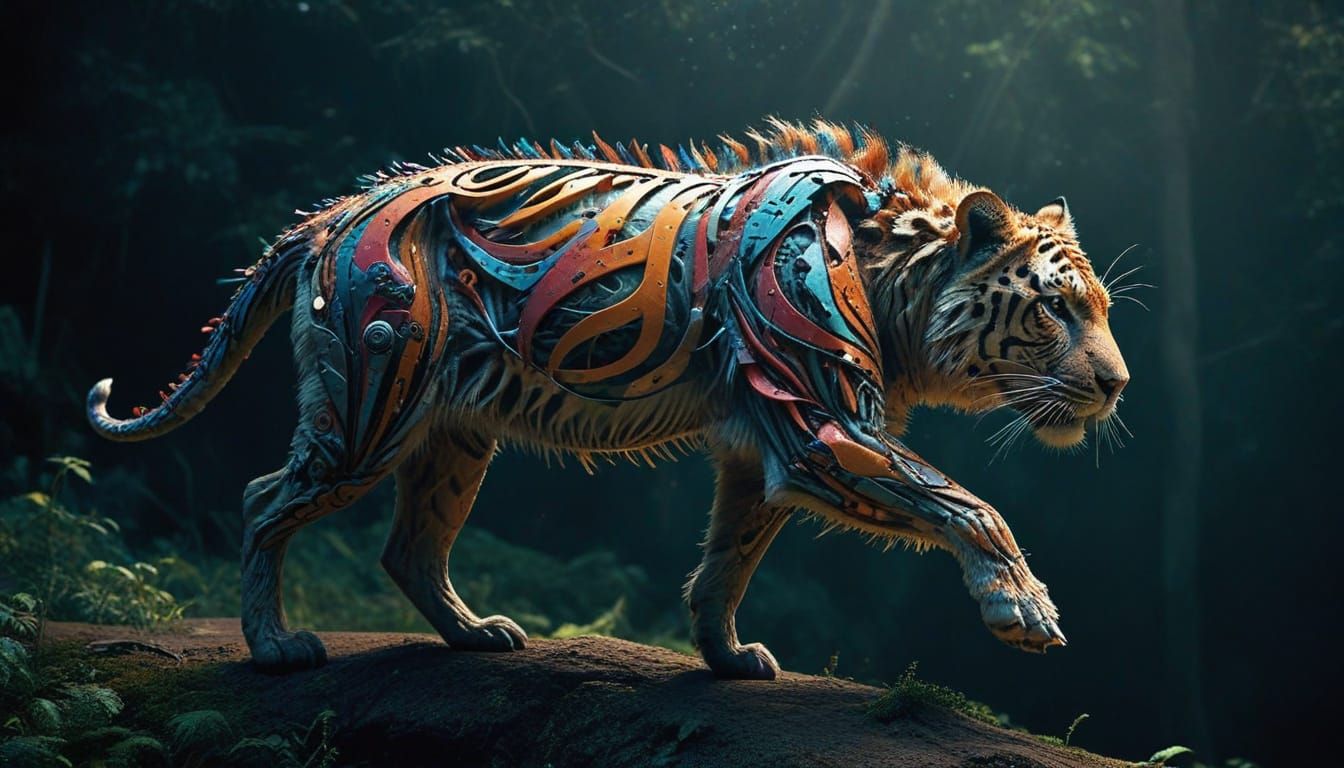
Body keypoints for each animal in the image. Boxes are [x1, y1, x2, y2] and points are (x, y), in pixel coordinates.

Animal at [87, 119, 1129, 678]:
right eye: (1059, 308)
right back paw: (274, 646)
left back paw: (479, 636)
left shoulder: (762, 444)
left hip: (454, 436)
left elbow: (728, 561)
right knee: (267, 500)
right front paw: (1023, 611)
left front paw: (728, 659)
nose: (1117, 384)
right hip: (368, 408)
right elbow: (969, 504)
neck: (900, 285)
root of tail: (326, 216)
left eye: (1105, 310)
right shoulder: (820, 424)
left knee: (408, 544)